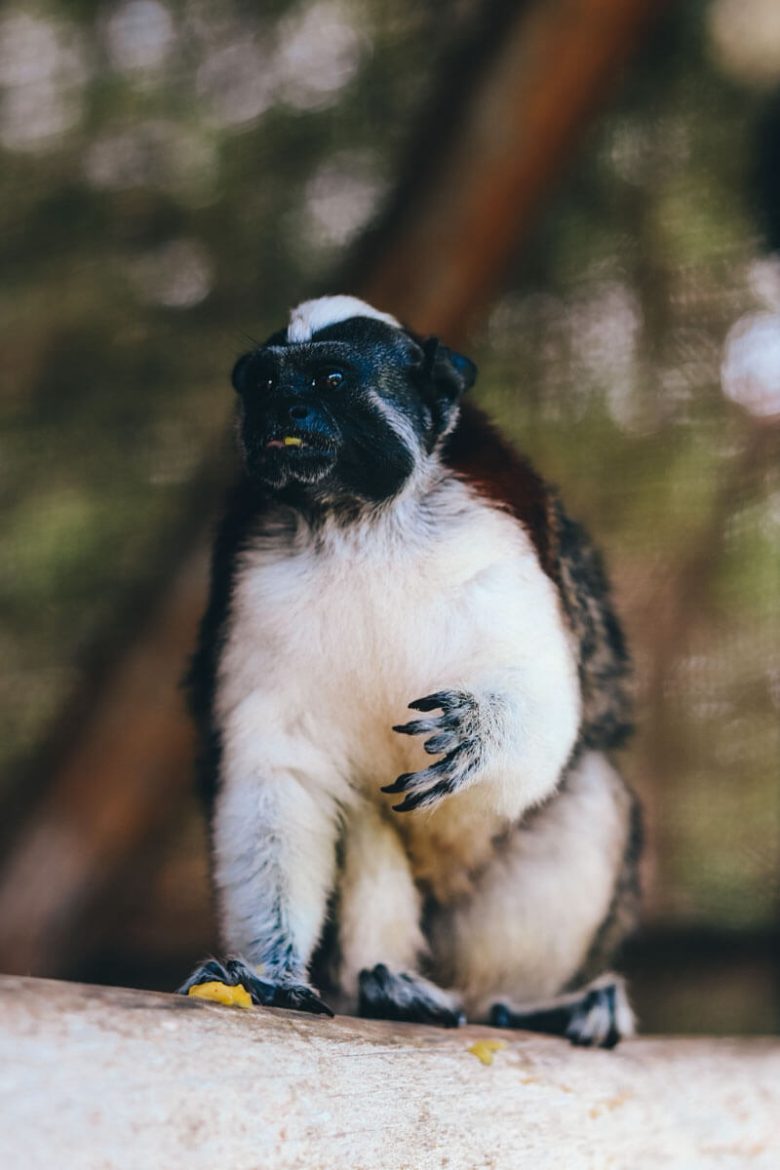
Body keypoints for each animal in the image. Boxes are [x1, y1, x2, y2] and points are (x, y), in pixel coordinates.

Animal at [179, 294, 641, 1048]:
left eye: (332, 380)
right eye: (265, 384)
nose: (283, 412)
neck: (357, 523)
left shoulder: (496, 536)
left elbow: (547, 707)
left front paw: (480, 730)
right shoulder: (252, 582)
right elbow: (279, 770)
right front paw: (272, 974)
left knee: (592, 788)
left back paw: (523, 1004)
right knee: (366, 813)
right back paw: (388, 987)